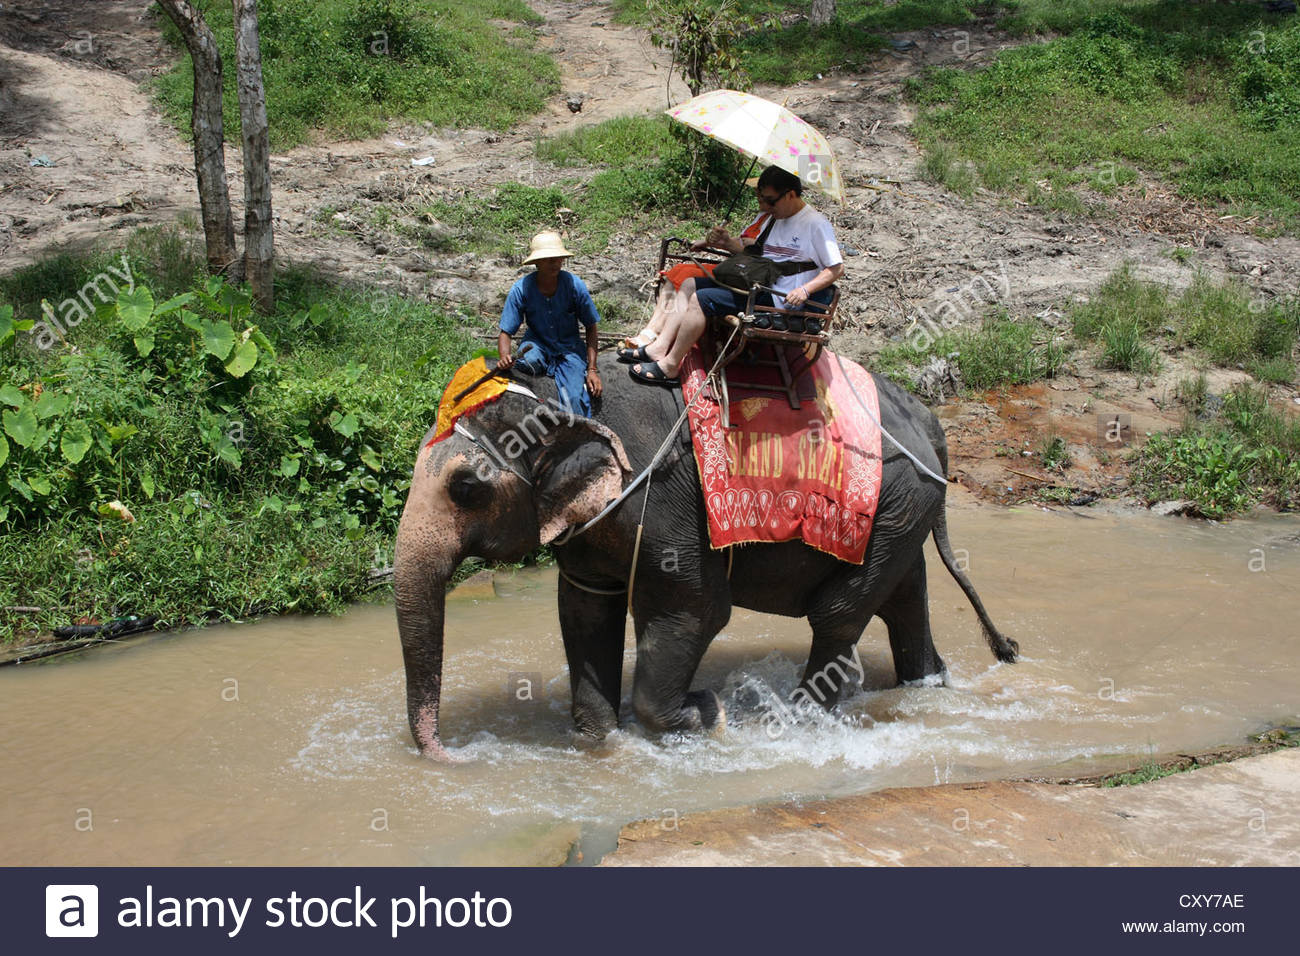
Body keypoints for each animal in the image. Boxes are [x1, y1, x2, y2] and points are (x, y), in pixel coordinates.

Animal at [394, 351, 1018, 758]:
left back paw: (799, 720)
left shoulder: (666, 503)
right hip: (902, 517)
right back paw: (926, 685)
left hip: (892, 509)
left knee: (838, 615)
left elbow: (695, 609)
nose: (450, 755)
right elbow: (585, 612)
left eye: (466, 488)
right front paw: (598, 740)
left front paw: (710, 716)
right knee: (903, 600)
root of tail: (932, 424)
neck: (563, 399)